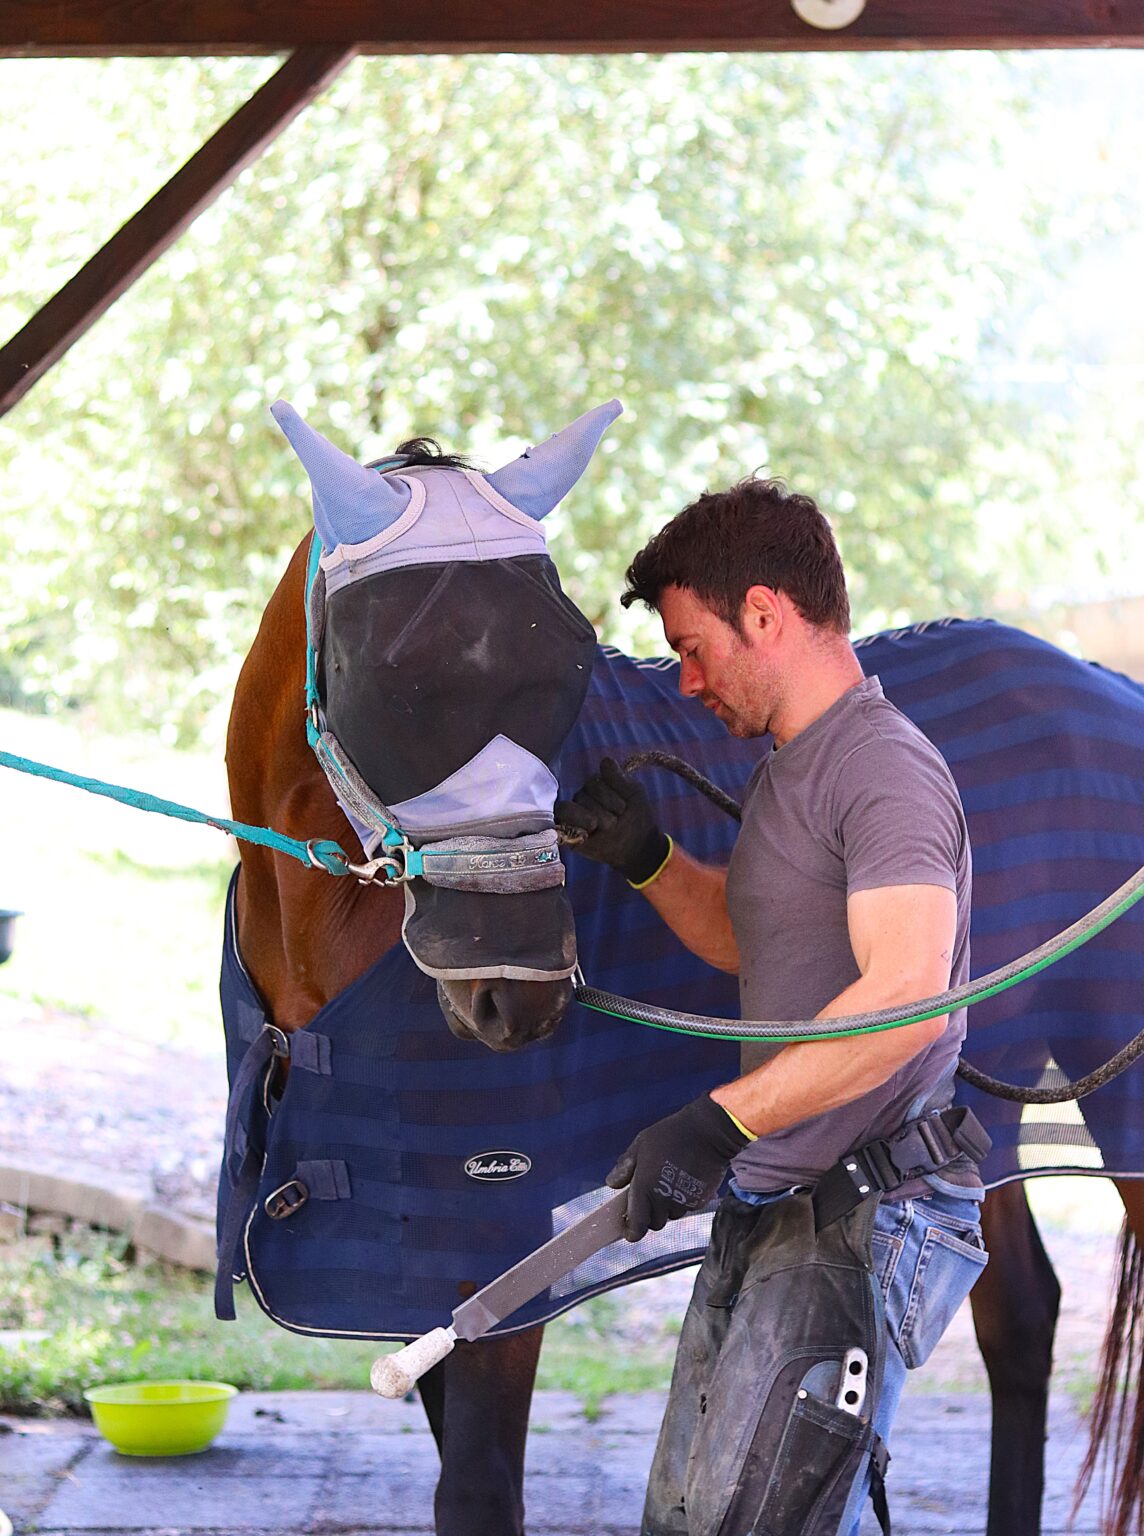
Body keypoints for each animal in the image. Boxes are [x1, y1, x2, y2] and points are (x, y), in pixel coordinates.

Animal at [221, 405, 1144, 1536]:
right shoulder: (420, 1259)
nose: (517, 994)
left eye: (572, 657)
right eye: (392, 674)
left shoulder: (495, 1249)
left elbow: (475, 1486)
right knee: (1017, 1316)